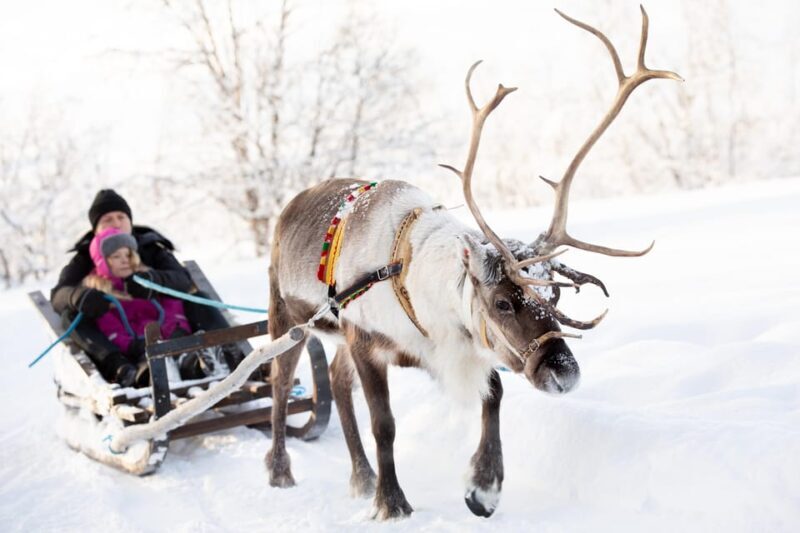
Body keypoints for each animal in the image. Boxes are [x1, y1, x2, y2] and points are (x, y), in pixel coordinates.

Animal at [265, 7, 681, 520]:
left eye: (555, 293)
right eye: (502, 302)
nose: (566, 375)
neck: (411, 277)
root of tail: (290, 205)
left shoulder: (443, 346)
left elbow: (495, 391)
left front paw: (483, 487)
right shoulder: (368, 341)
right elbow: (384, 423)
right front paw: (393, 502)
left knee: (339, 385)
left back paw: (360, 477)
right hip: (287, 316)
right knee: (280, 383)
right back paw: (282, 471)